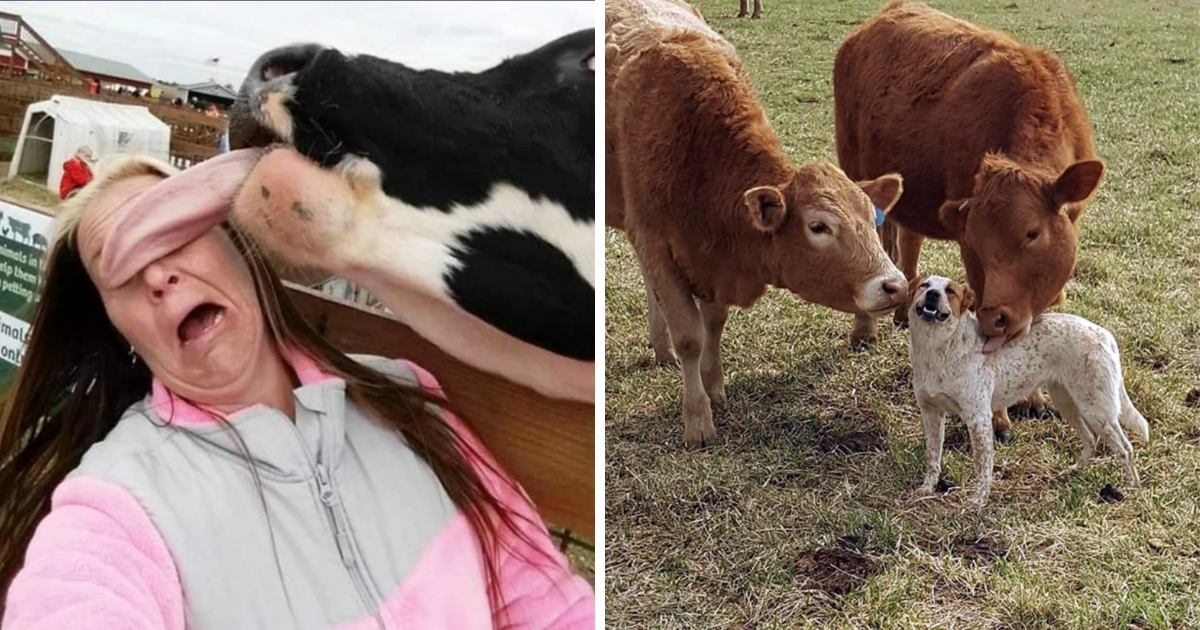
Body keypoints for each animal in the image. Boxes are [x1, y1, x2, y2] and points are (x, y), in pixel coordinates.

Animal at [607, 0, 907, 448]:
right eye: (819, 226)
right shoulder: (654, 241)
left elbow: (713, 324)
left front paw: (714, 385)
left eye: (873, 219)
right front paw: (697, 419)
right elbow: (690, 335)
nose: (896, 286)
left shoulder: (714, 261)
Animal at [834, 0, 1104, 441]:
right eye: (976, 243)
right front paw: (999, 417)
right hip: (857, 174)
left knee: (908, 239)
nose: (998, 315)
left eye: (1033, 232)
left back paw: (902, 310)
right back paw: (865, 330)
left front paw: (1033, 397)